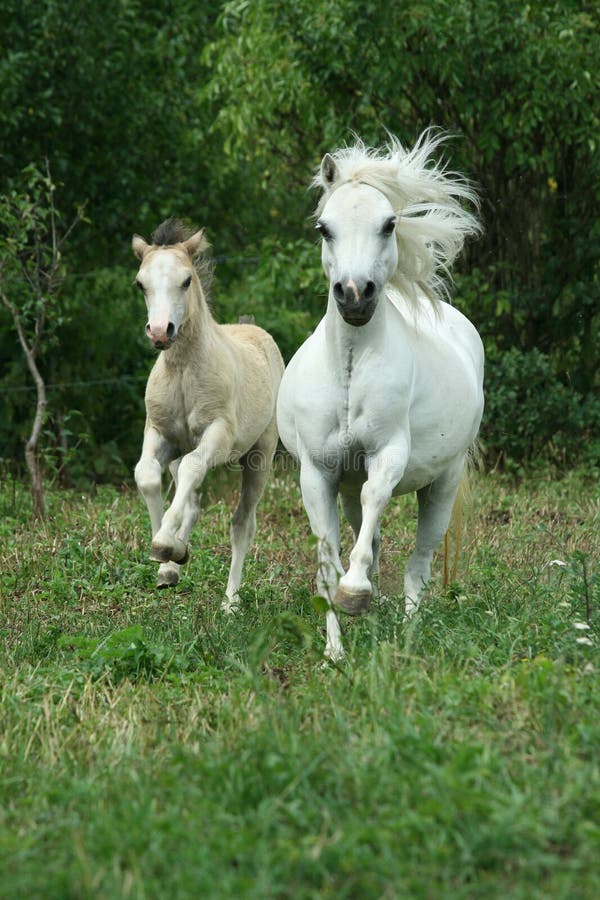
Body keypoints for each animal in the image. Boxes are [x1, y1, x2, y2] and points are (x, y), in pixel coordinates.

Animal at [132, 219, 284, 610]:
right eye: (141, 283)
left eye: (186, 280)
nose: (160, 331)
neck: (184, 371)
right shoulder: (160, 433)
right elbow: (147, 476)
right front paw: (166, 558)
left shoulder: (218, 435)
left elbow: (192, 470)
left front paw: (164, 545)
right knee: (191, 499)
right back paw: (176, 560)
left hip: (260, 455)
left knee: (242, 523)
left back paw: (231, 601)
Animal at [276, 130, 484, 660]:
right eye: (324, 228)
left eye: (389, 224)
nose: (354, 295)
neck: (350, 371)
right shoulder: (319, 473)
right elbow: (329, 556)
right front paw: (334, 651)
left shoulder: (388, 454)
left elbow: (377, 500)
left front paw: (356, 593)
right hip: (348, 490)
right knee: (370, 541)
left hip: (443, 484)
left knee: (419, 564)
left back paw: (409, 635)